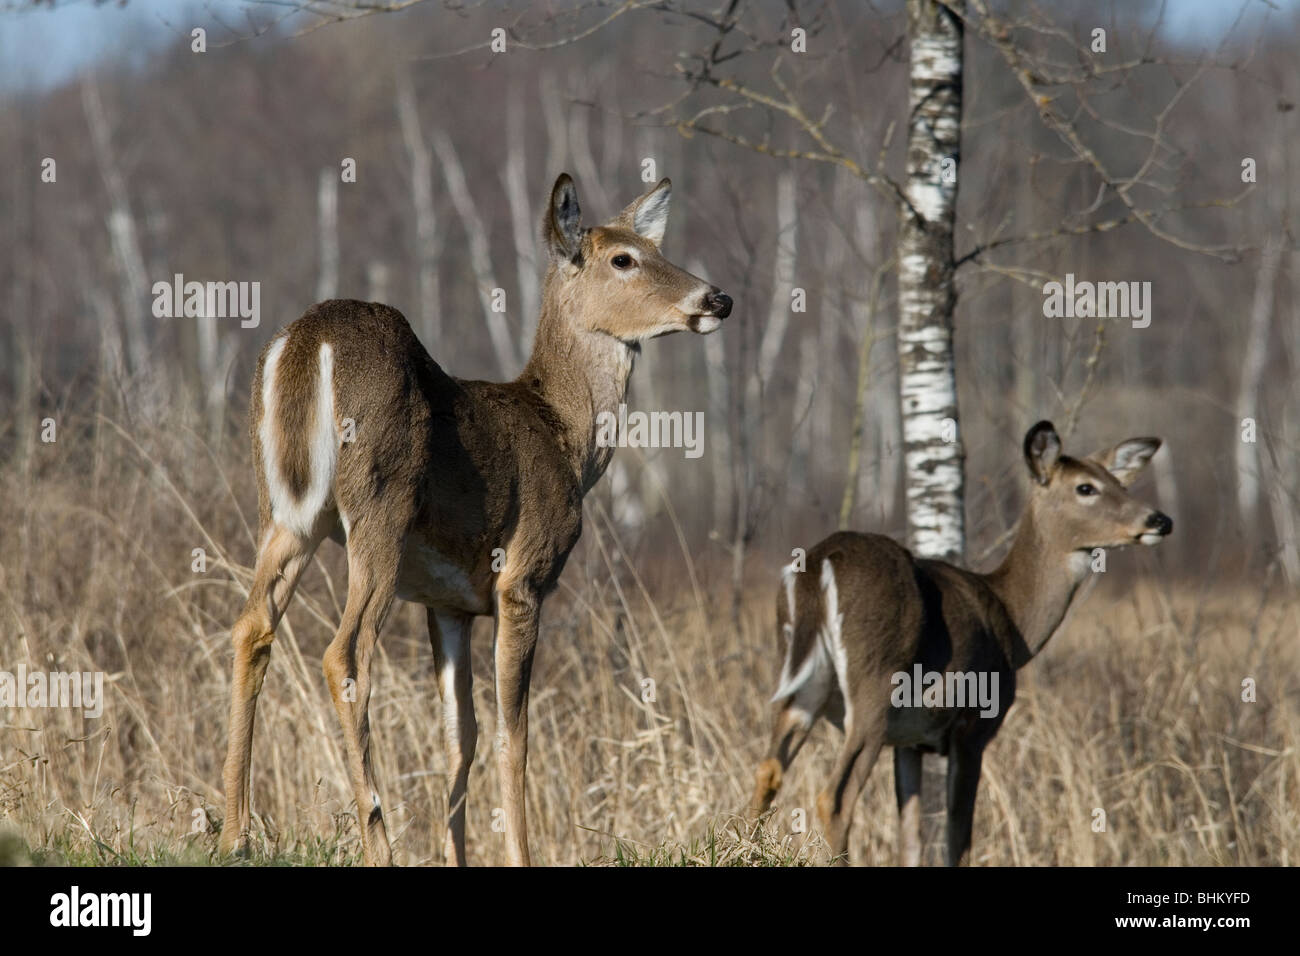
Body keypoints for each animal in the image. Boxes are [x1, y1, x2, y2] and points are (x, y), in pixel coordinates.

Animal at [219, 173, 732, 866]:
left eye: (655, 246)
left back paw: (233, 832)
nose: (717, 298)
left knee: (252, 628)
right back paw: (377, 840)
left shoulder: (450, 603)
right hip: (380, 504)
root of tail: (305, 342)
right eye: (624, 259)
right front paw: (519, 853)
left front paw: (456, 853)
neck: (566, 439)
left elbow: (460, 733)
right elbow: (515, 733)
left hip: (286, 515)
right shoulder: (522, 578)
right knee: (344, 653)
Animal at [748, 421, 1173, 866]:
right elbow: (958, 836)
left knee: (768, 771)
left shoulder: (910, 741)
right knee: (834, 797)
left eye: (1119, 482)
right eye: (1086, 487)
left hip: (803, 683)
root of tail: (820, 562)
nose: (1159, 520)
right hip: (874, 683)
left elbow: (911, 837)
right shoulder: (973, 724)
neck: (1013, 623)